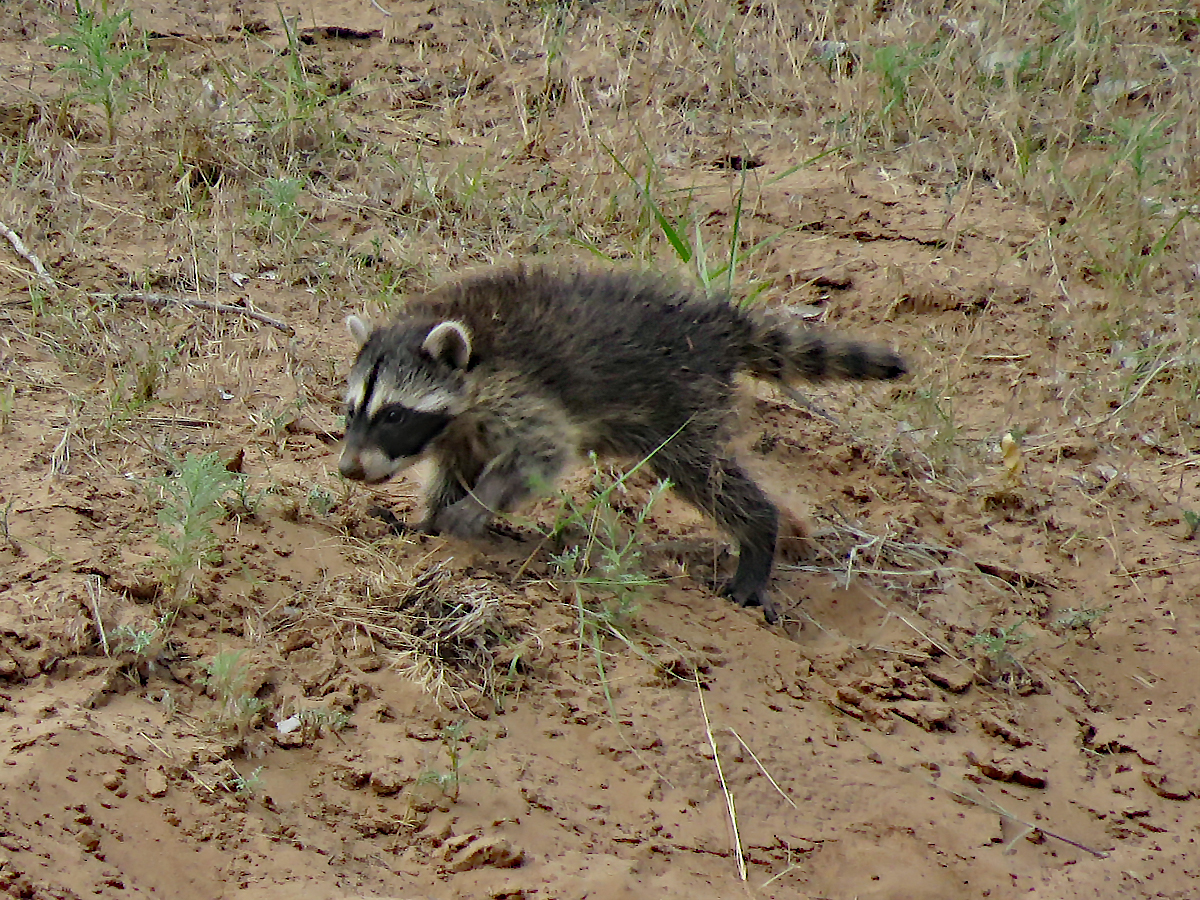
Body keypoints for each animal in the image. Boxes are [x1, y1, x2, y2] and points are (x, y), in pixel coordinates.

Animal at [339, 267, 906, 623]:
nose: (349, 469)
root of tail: (713, 324)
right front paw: (428, 518)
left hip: (684, 403)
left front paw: (474, 507)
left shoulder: (518, 391)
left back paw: (759, 534)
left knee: (708, 476)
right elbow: (452, 469)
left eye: (393, 414)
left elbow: (540, 452)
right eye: (351, 410)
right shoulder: (459, 427)